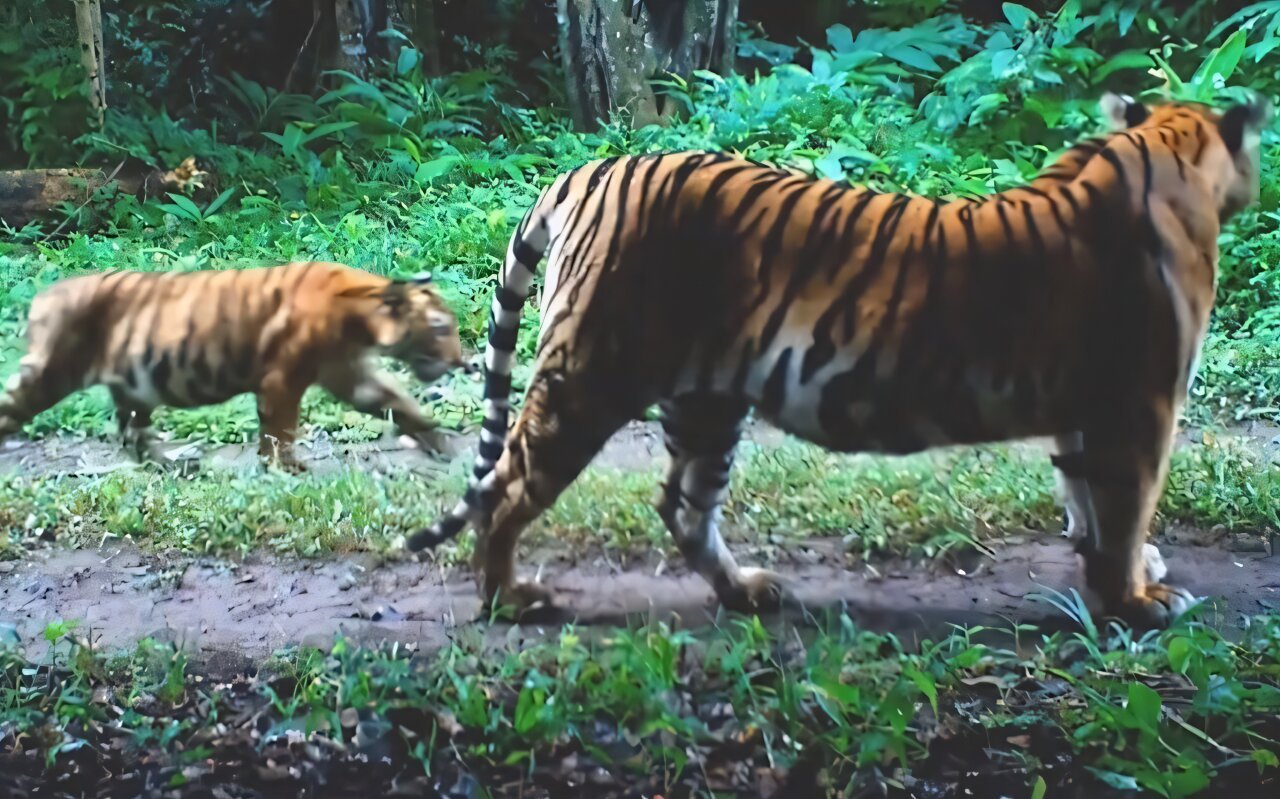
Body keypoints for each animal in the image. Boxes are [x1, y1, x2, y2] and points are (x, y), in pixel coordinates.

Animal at [0, 262, 464, 469]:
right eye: (440, 328)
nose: (461, 361)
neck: (361, 321)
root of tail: (43, 296)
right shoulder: (283, 379)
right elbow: (279, 429)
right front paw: (284, 469)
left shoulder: (348, 372)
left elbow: (397, 402)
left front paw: (440, 441)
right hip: (51, 372)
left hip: (135, 387)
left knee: (132, 435)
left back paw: (174, 465)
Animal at [407, 93, 1267, 629]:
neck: (1165, 146)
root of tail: (590, 170)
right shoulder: (1141, 404)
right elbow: (1124, 507)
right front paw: (1137, 600)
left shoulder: (1084, 409)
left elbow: (1086, 500)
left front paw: (1114, 577)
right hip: (591, 372)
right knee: (507, 488)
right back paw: (509, 597)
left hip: (706, 399)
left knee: (683, 505)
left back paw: (747, 590)